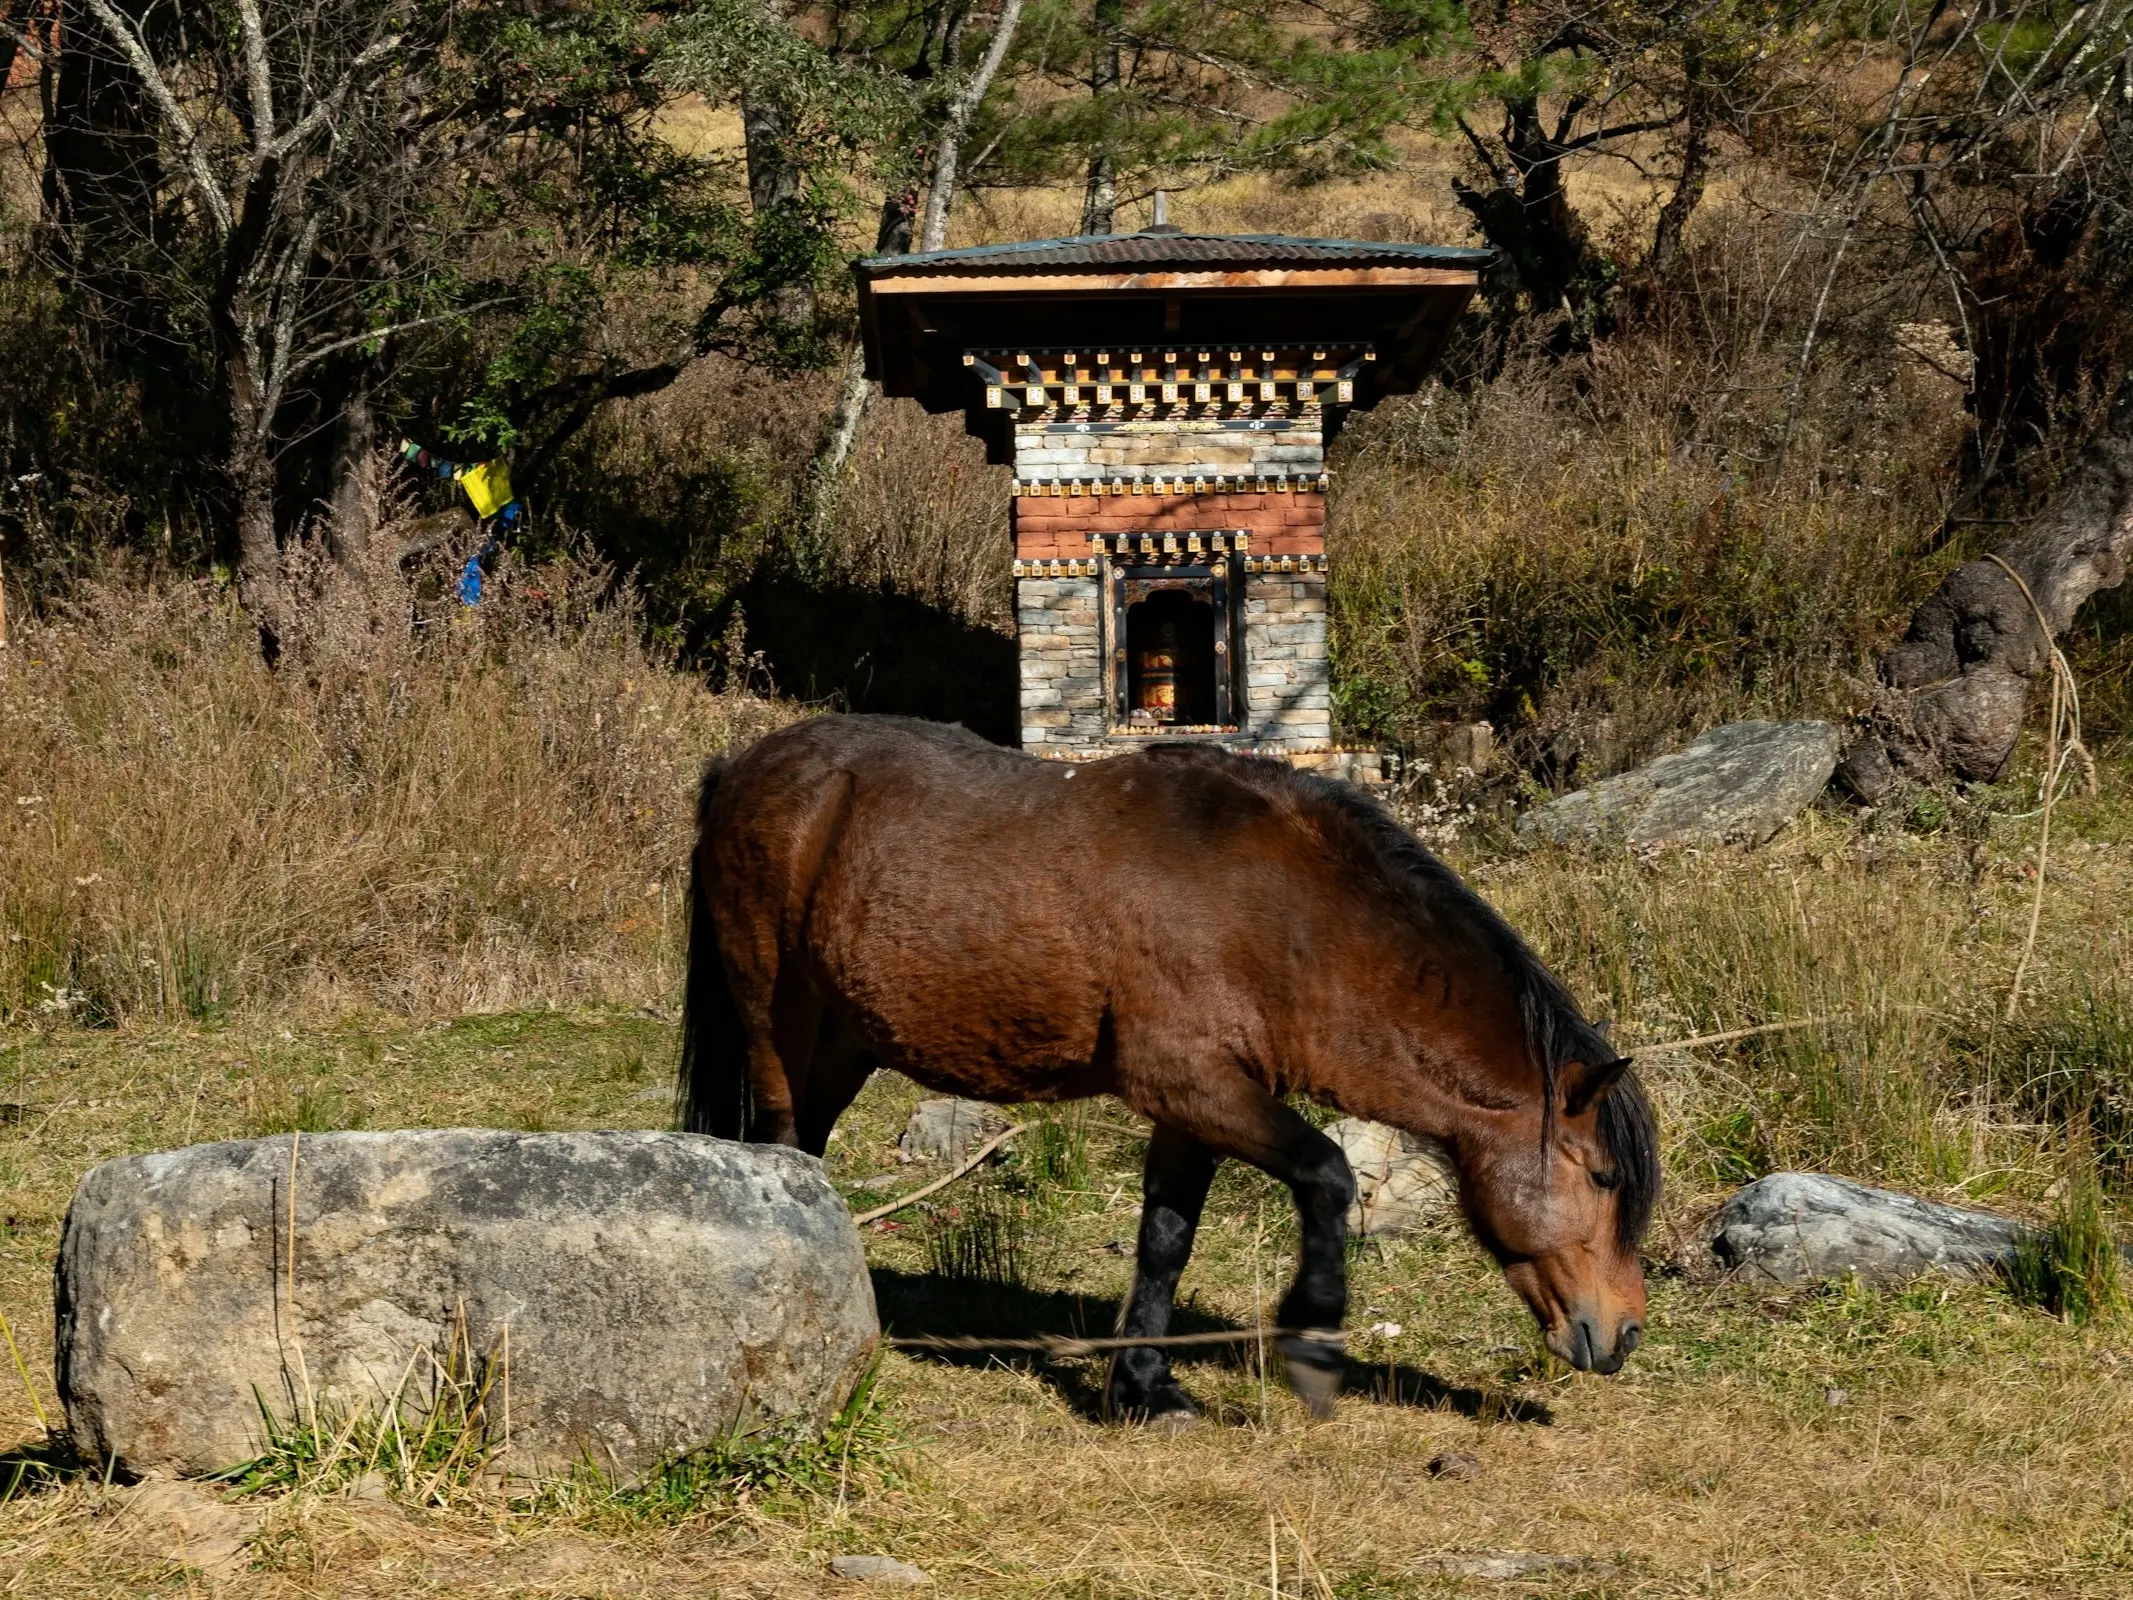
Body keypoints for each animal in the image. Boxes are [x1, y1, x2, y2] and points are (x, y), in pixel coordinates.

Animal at [676, 714, 1658, 1422]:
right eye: (1604, 1178)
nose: (1622, 1333)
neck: (1281, 915)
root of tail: (742, 765)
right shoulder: (1193, 1086)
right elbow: (1327, 1174)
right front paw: (1311, 1343)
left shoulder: (1196, 1107)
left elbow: (1165, 1241)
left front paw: (1141, 1387)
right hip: (773, 1013)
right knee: (780, 1143)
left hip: (845, 1040)